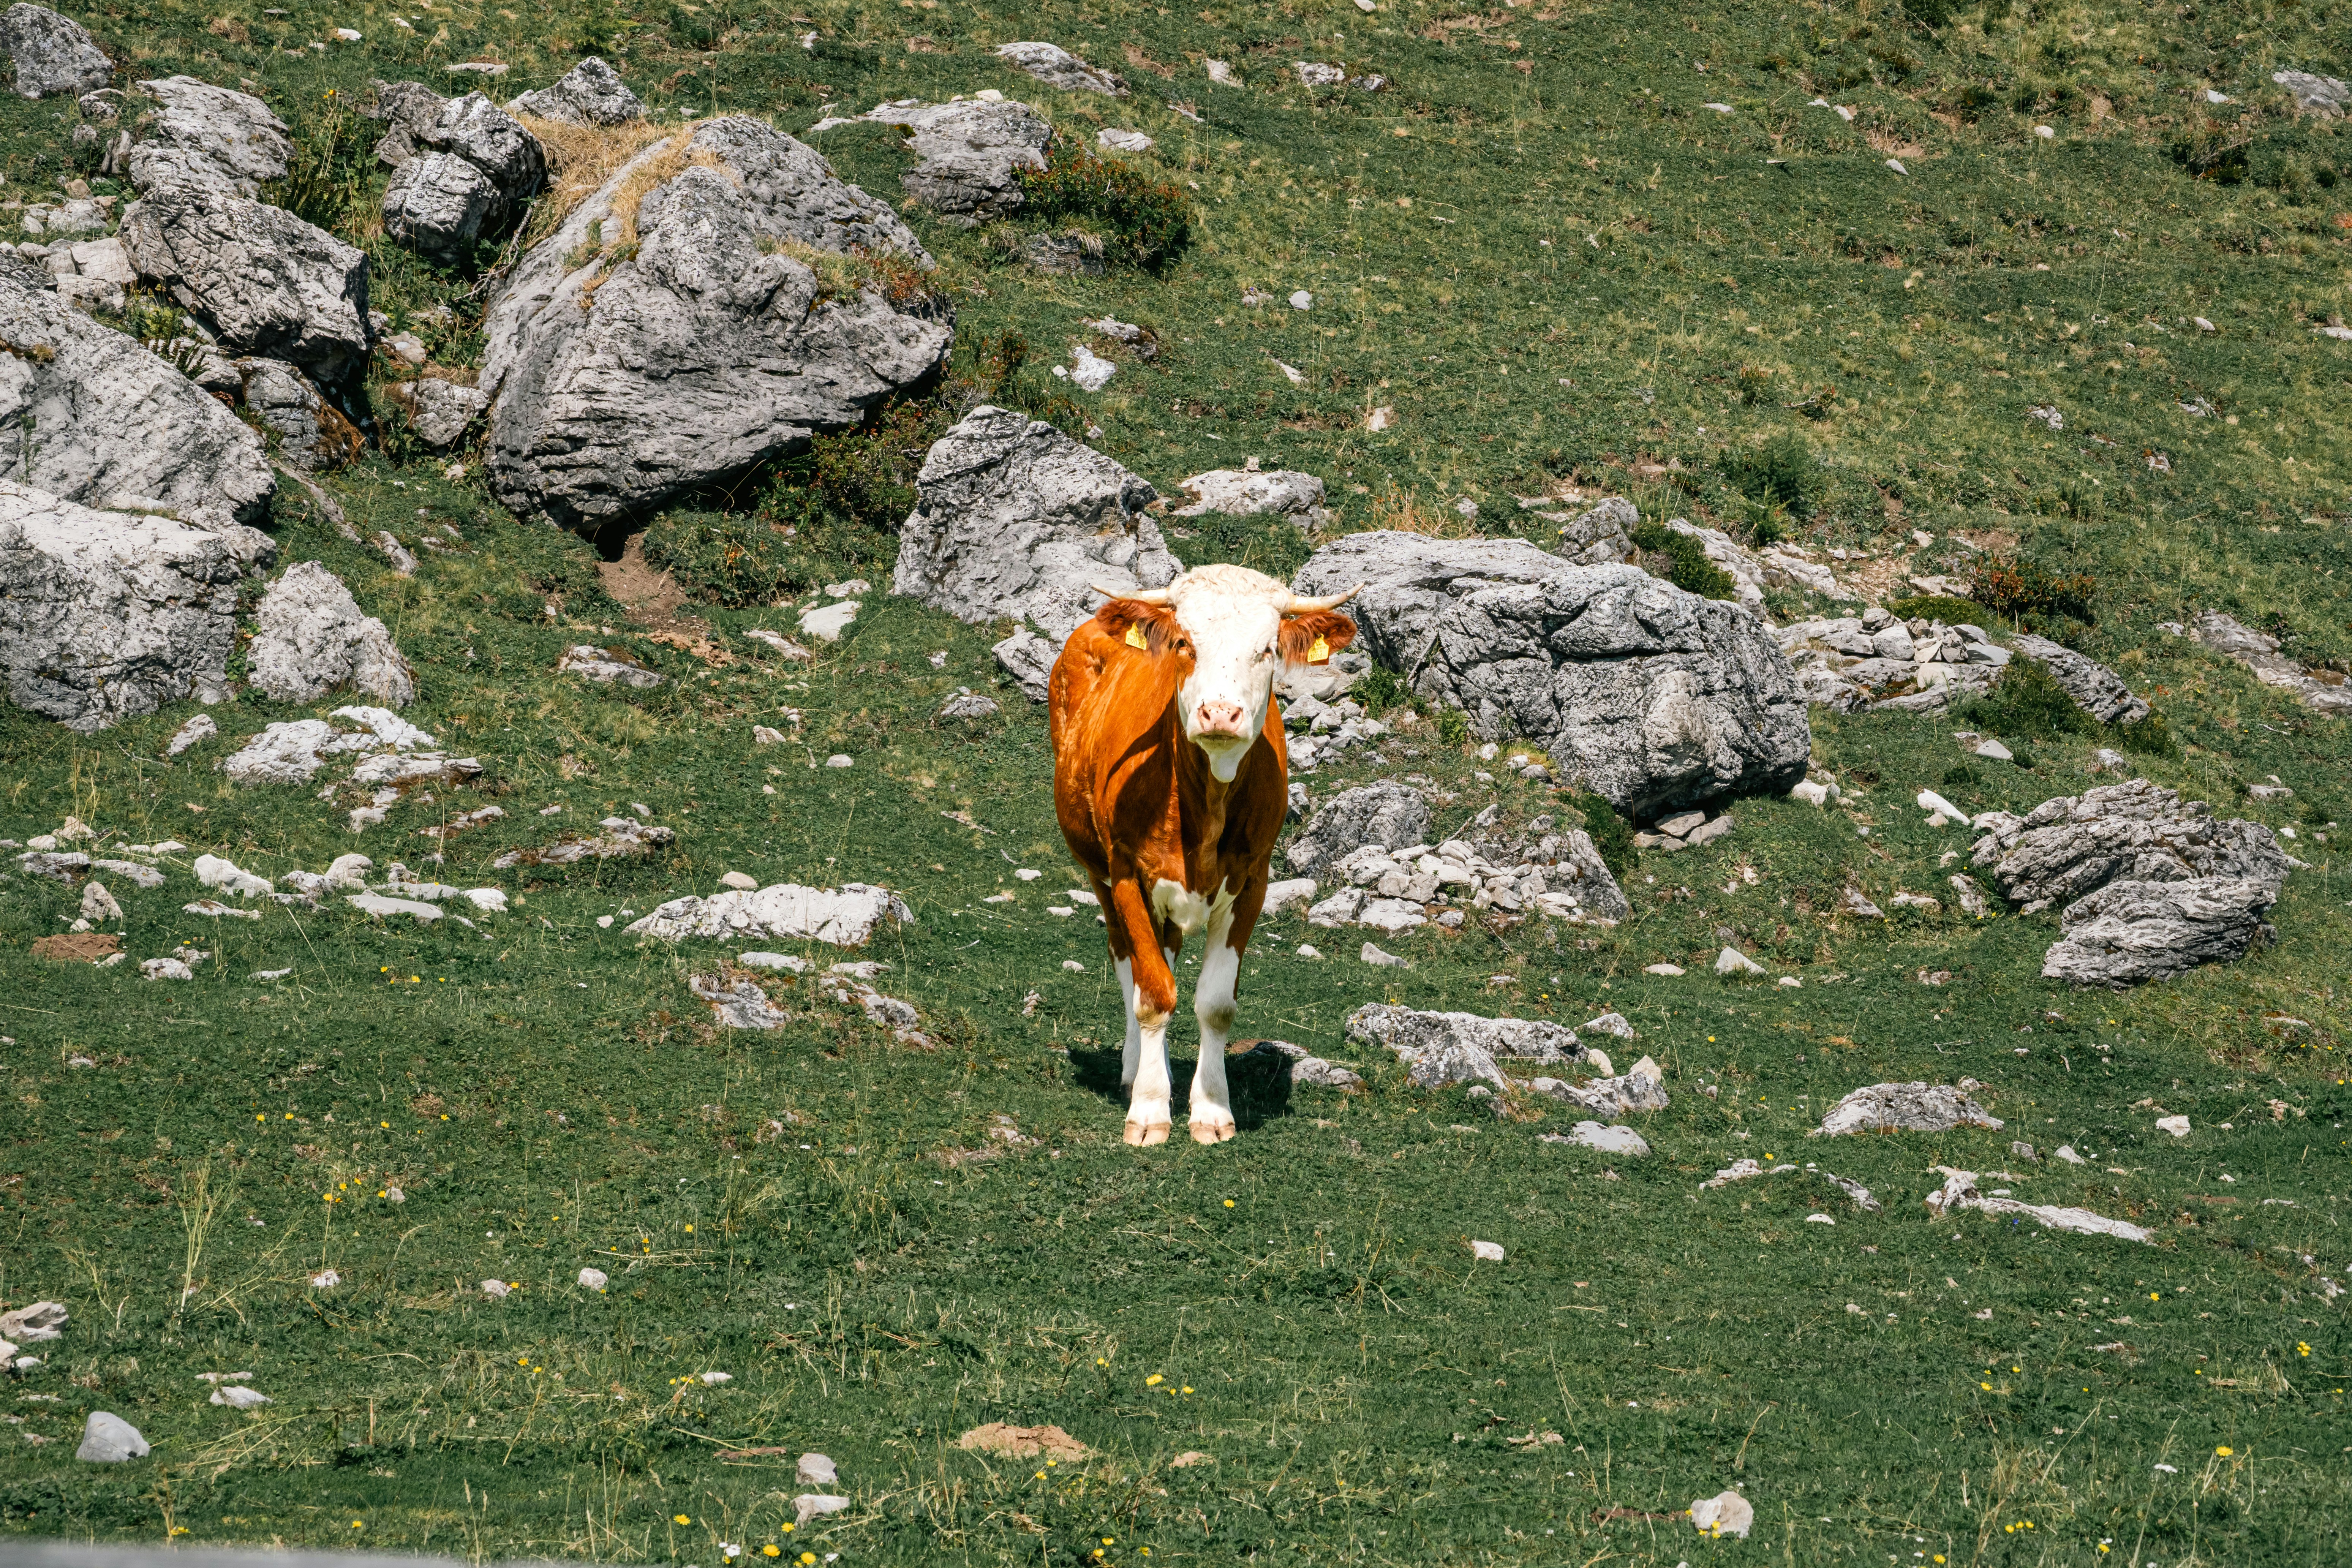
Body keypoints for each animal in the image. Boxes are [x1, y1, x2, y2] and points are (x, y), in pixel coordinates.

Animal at [1049, 563, 1362, 1146]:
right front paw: (1149, 1109)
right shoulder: (1126, 872)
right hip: (1097, 870)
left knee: (1166, 953)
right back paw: (1136, 1070)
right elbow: (1153, 994)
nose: (1220, 712)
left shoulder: (1253, 879)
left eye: (1267, 649)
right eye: (1184, 643)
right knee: (1128, 960)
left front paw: (1212, 1109)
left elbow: (1214, 1004)